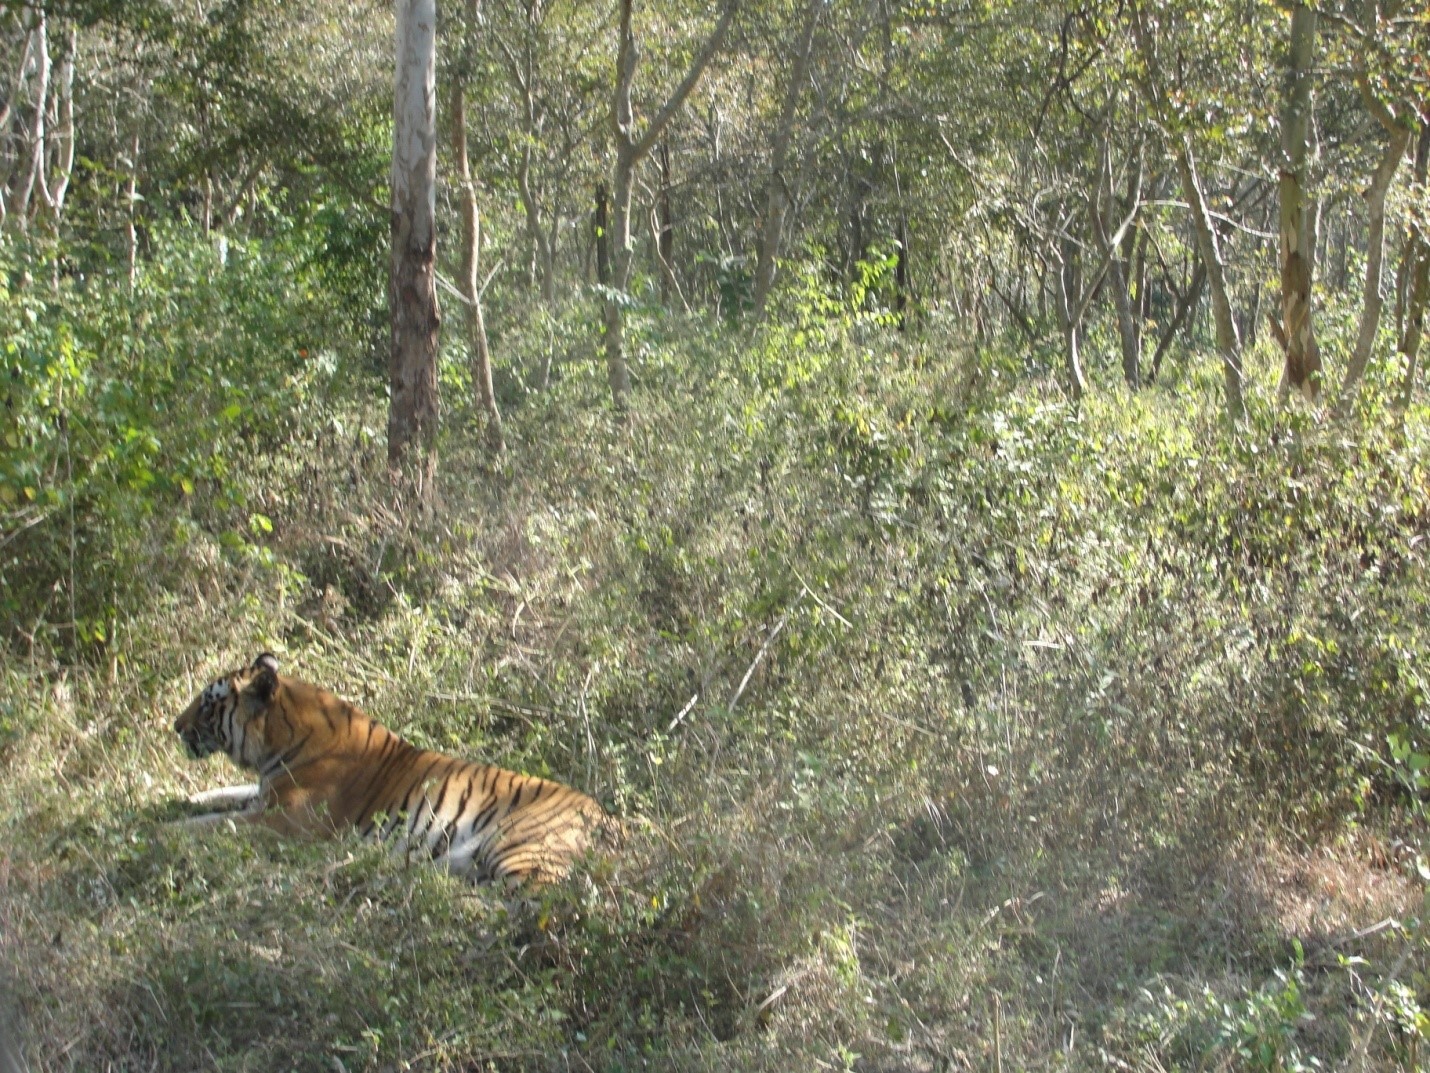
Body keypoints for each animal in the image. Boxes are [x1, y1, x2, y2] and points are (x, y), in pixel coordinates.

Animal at [172, 653, 610, 886]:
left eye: (207, 703)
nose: (175, 726)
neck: (277, 740)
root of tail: (610, 818)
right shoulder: (266, 794)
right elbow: (228, 796)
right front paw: (187, 798)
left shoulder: (286, 821)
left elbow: (216, 825)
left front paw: (162, 833)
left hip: (515, 845)